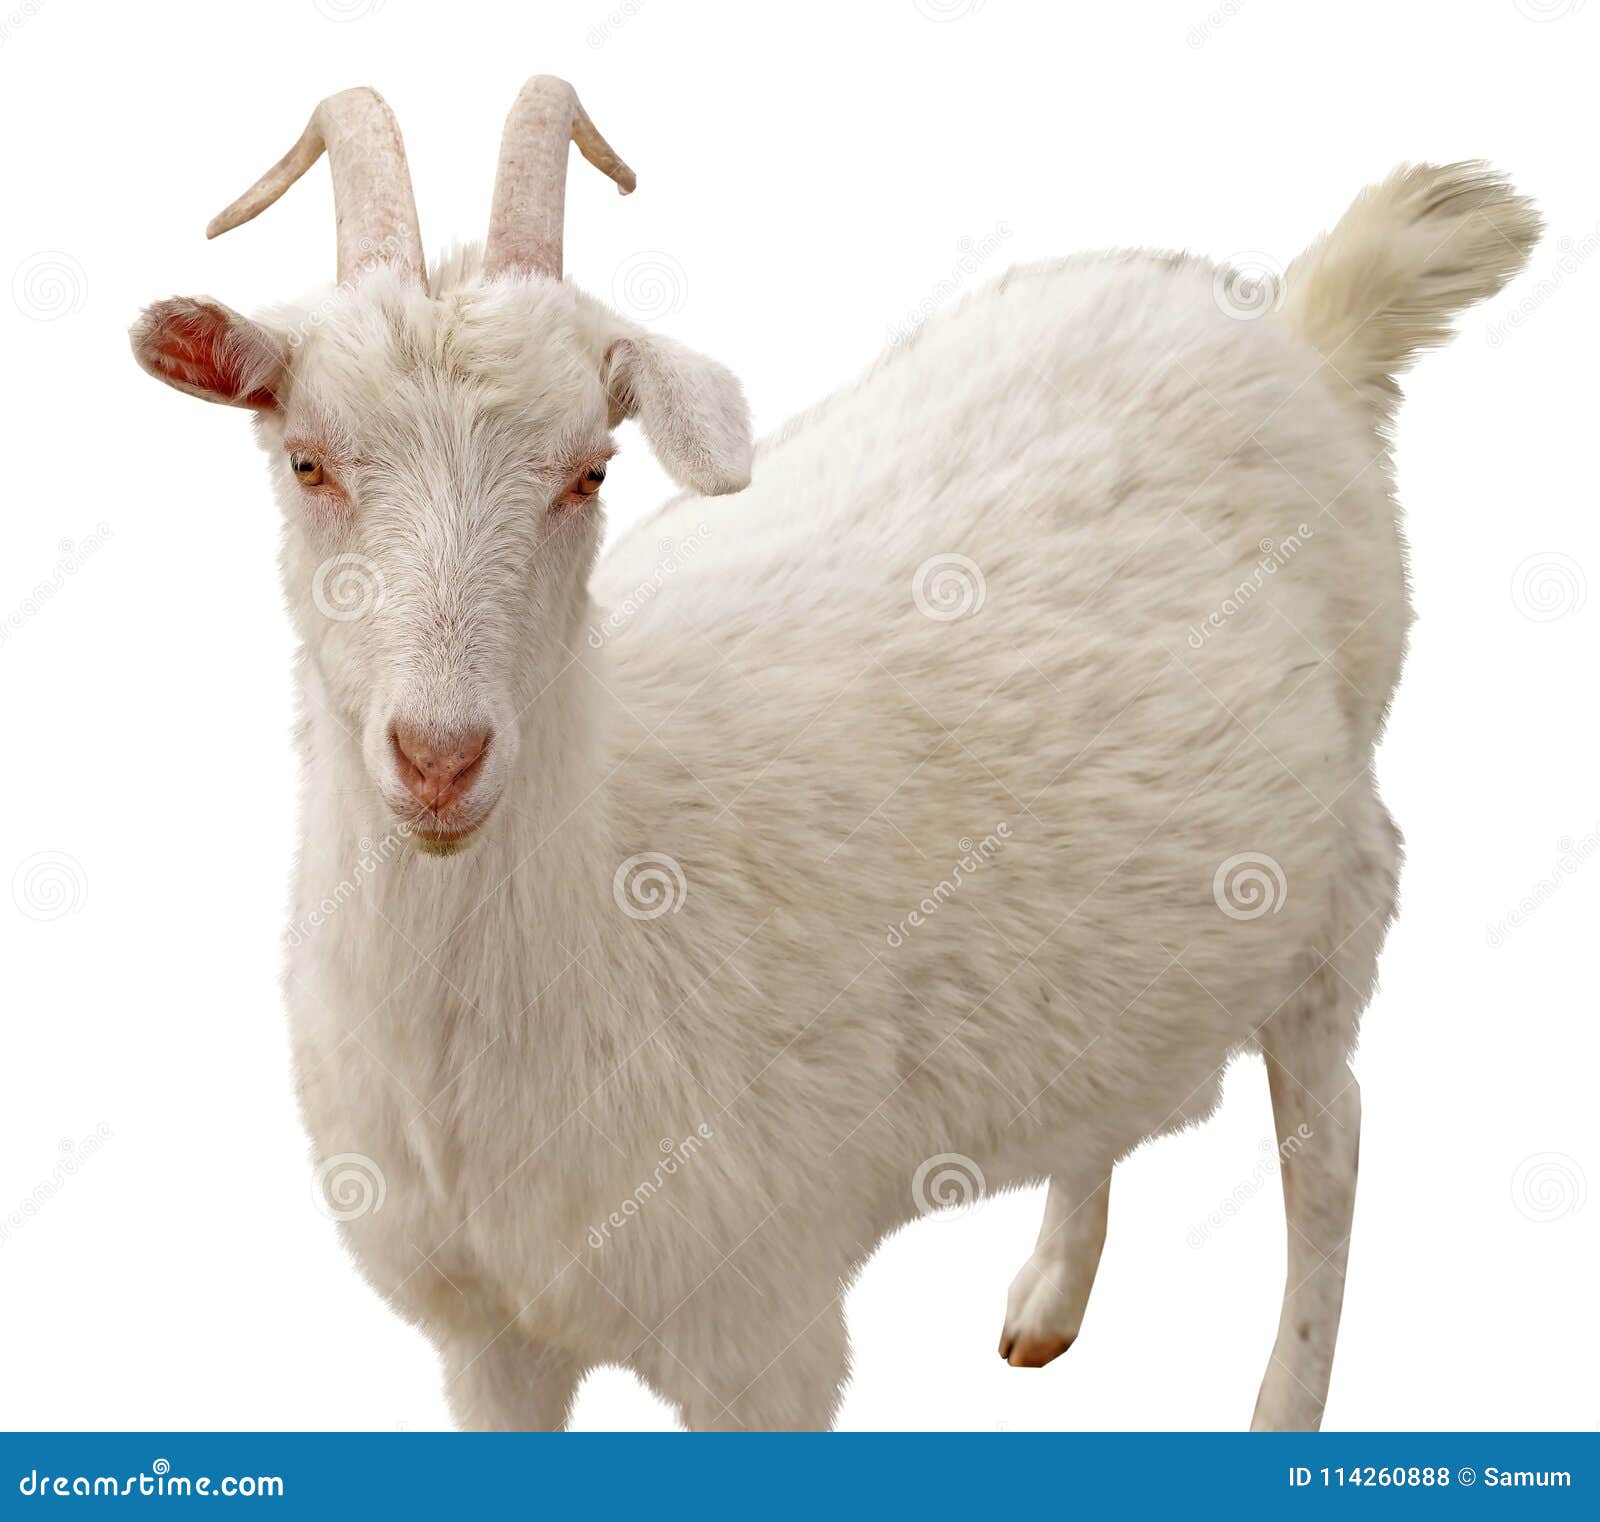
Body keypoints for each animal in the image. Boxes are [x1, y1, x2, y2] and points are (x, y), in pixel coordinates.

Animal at [130, 77, 1537, 1430]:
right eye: (304, 459)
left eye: (590, 471)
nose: (440, 756)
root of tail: (1300, 333)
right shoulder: (487, 1338)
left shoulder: (760, 1329)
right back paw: (1049, 1295)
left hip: (1330, 891)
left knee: (1330, 1142)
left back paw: (1281, 1408)